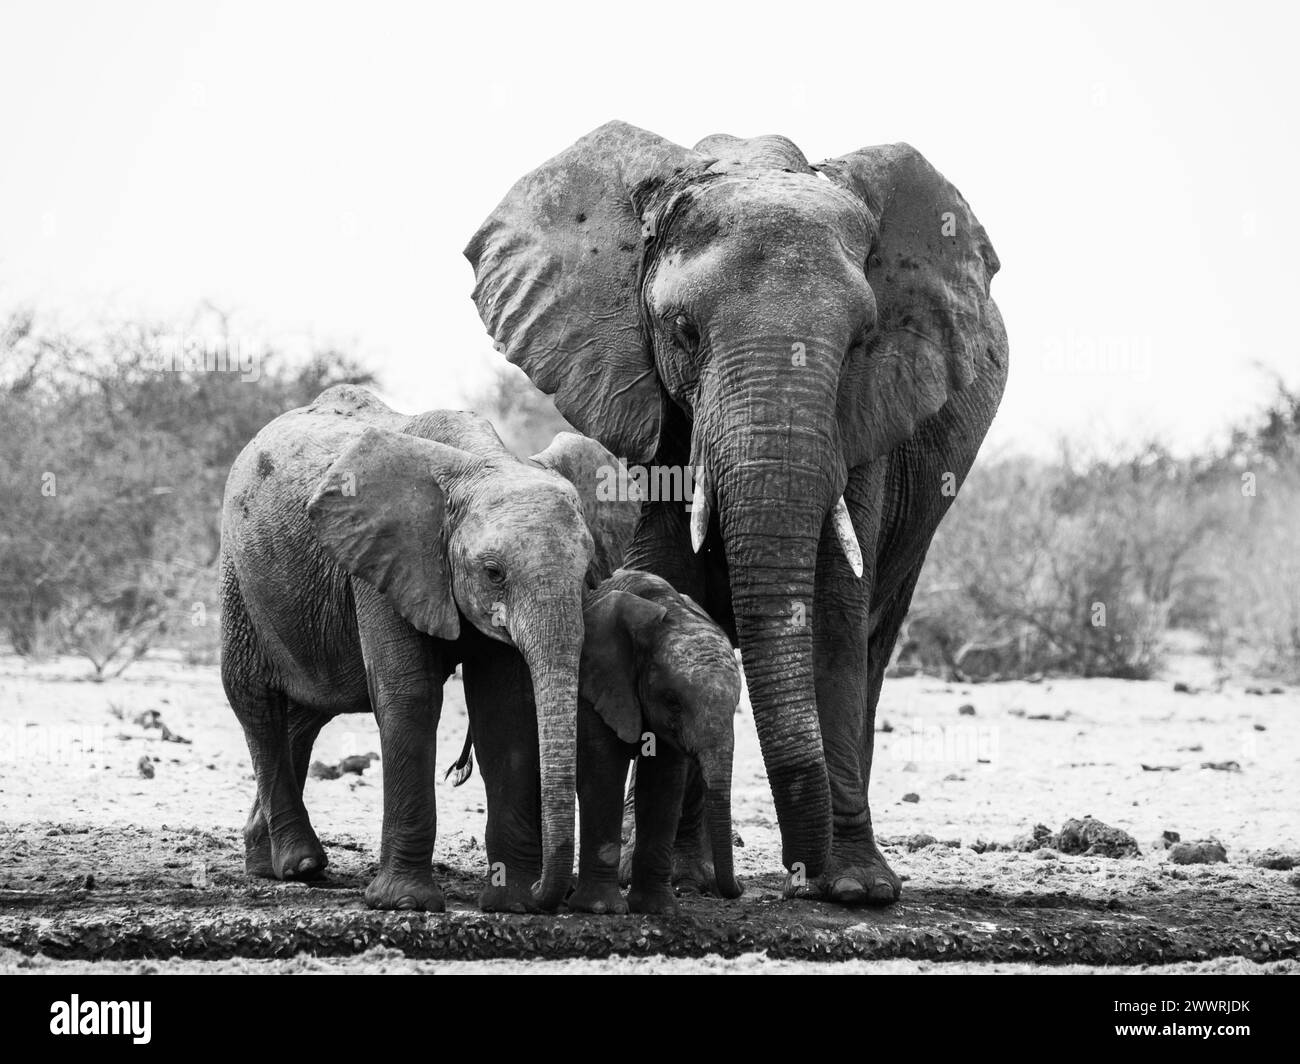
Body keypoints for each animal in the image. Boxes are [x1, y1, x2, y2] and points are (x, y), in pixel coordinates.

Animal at [219, 384, 596, 912]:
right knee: (256, 700)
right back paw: (299, 865)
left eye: (586, 574)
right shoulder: (380, 558)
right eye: (493, 572)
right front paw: (405, 902)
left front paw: (514, 903)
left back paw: (269, 864)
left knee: (308, 710)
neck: (483, 461)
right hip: (240, 575)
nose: (552, 893)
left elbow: (503, 710)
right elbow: (410, 695)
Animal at [447, 567, 743, 914]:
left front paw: (659, 909)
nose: (736, 890)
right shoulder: (594, 685)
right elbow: (602, 770)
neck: (666, 607)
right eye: (673, 701)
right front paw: (602, 909)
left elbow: (664, 784)